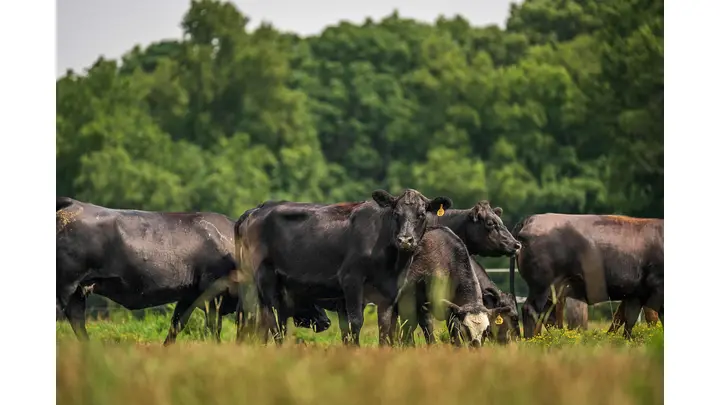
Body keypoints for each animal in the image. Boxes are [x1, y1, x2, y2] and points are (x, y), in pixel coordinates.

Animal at [56, 197, 329, 345]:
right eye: (306, 292)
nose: (326, 321)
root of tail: (72, 204)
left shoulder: (189, 295)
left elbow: (176, 325)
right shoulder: (212, 295)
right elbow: (213, 328)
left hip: (77, 291)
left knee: (77, 320)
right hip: (66, 285)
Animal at [233, 189, 453, 346]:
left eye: (421, 214)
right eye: (396, 214)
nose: (405, 240)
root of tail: (255, 210)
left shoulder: (391, 289)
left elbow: (385, 324)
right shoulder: (351, 280)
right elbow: (355, 322)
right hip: (264, 277)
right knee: (270, 318)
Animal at [508, 214, 663, 339]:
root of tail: (530, 219)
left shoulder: (635, 294)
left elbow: (628, 319)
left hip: (554, 290)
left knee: (547, 316)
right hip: (542, 286)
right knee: (531, 311)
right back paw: (533, 341)